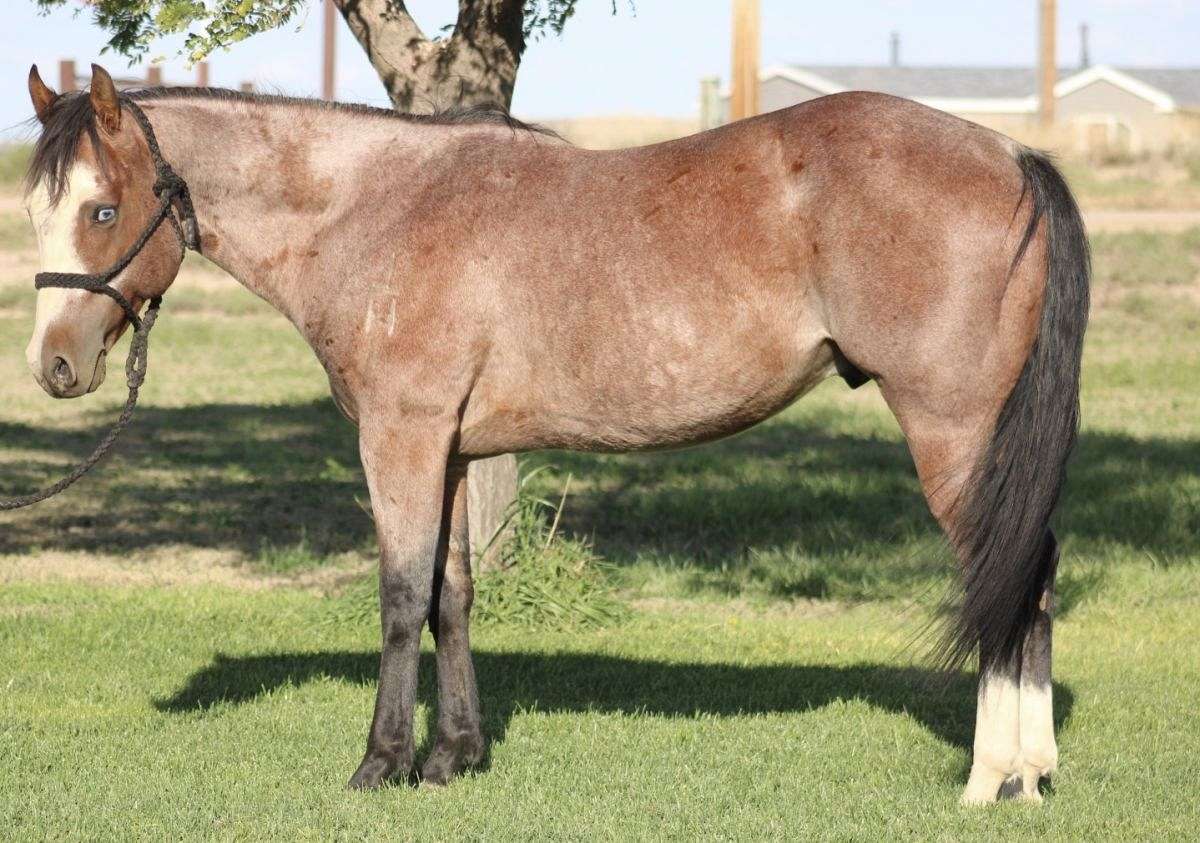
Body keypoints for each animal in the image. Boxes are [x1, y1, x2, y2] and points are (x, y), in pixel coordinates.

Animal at [19, 63, 1088, 804]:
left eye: (102, 208)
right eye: (37, 212)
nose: (54, 364)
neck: (378, 209)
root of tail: (1011, 159)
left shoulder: (401, 439)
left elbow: (400, 596)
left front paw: (382, 763)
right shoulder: (451, 449)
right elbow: (452, 595)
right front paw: (454, 757)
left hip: (955, 437)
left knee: (1005, 579)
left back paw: (989, 776)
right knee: (1032, 577)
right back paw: (1032, 774)